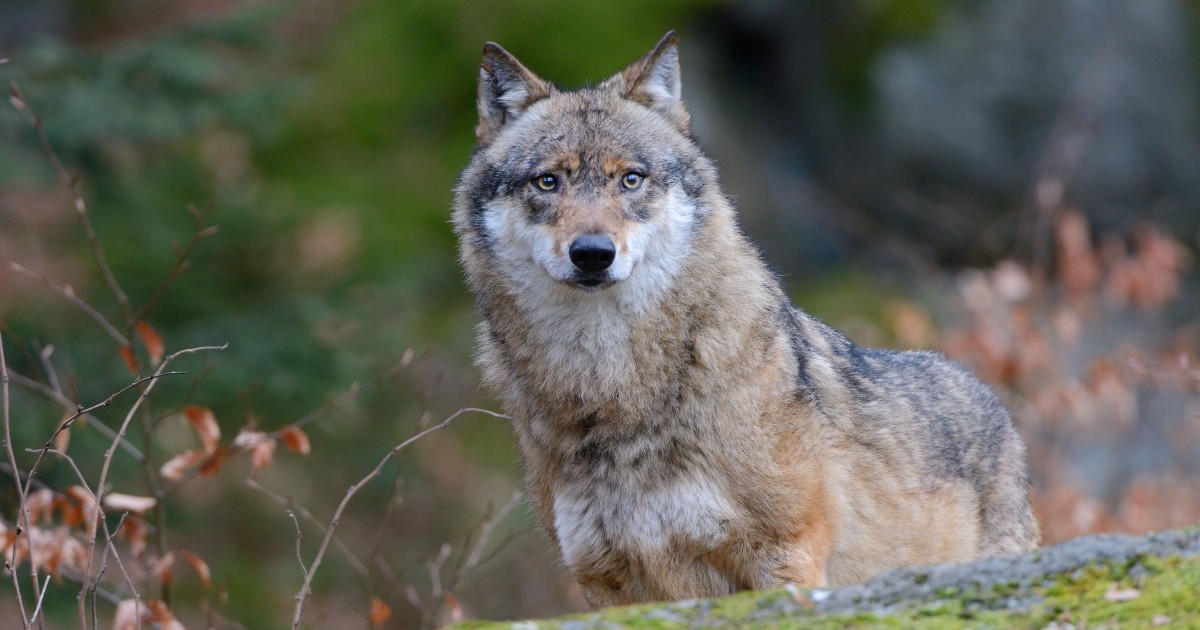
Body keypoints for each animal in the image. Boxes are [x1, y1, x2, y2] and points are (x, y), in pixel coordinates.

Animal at [453, 31, 1039, 607]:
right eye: (548, 182)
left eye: (631, 180)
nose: (593, 253)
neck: (610, 394)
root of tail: (992, 401)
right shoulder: (608, 583)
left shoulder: (784, 553)